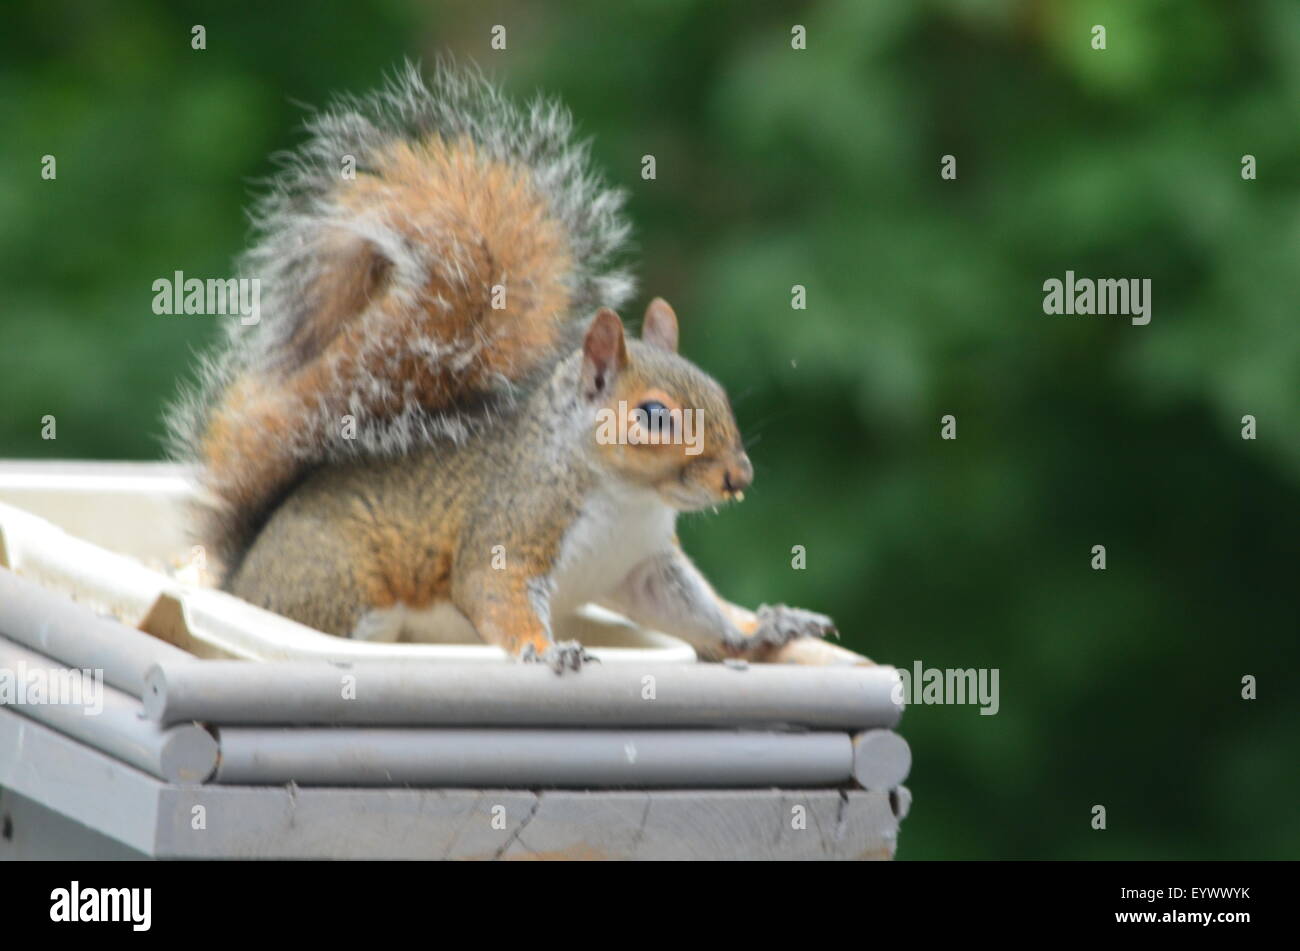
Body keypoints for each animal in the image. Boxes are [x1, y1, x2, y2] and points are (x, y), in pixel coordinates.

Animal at [166, 63, 839, 670]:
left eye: (720, 394)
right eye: (653, 416)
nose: (738, 477)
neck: (627, 499)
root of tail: (241, 577)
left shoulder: (646, 566)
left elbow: (693, 612)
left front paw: (762, 628)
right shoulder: (510, 534)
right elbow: (494, 593)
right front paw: (545, 650)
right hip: (338, 592)